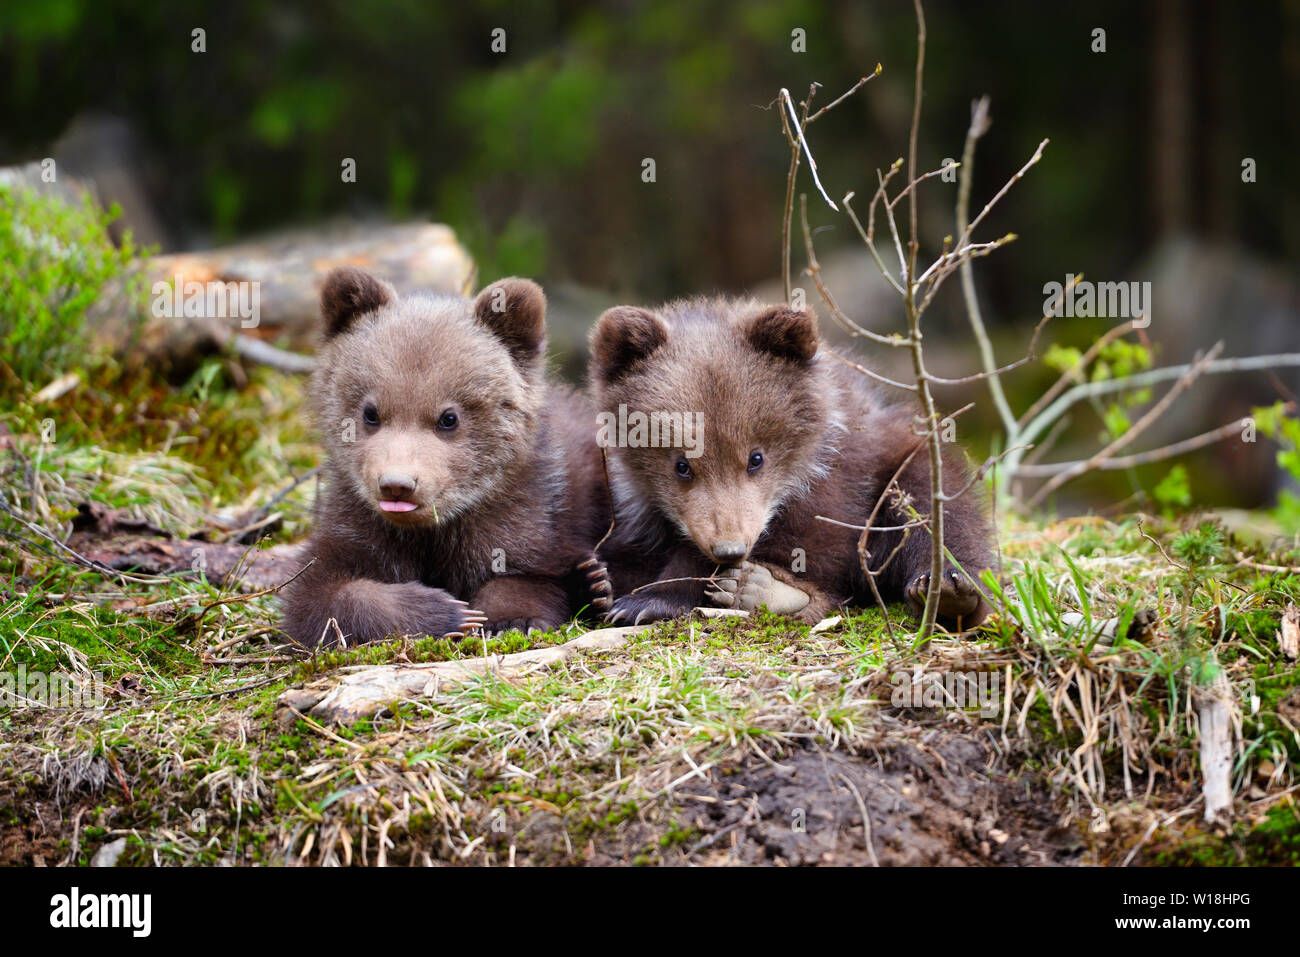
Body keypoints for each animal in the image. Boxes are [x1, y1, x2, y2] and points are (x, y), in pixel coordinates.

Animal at [281, 266, 612, 648]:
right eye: (370, 412)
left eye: (448, 417)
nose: (397, 484)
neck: (434, 531)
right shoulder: (355, 524)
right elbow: (321, 595)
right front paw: (444, 610)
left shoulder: (534, 514)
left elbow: (526, 575)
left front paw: (510, 619)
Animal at [588, 296, 995, 630]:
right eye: (681, 465)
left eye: (756, 458)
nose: (730, 548)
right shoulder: (636, 502)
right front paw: (600, 582)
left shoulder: (835, 481)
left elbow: (820, 545)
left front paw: (646, 600)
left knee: (937, 512)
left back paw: (948, 591)